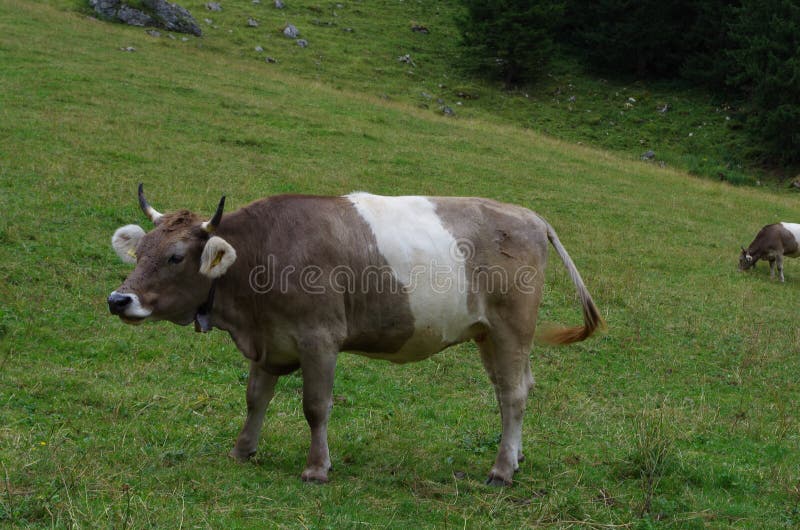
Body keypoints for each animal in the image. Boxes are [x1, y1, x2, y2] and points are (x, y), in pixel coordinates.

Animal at [108, 184, 604, 486]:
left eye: (175, 257)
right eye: (141, 250)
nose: (118, 300)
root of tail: (528, 215)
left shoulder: (319, 339)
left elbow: (315, 407)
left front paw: (316, 468)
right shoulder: (269, 343)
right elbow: (255, 398)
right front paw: (242, 450)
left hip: (512, 328)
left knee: (515, 394)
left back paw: (501, 470)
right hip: (487, 334)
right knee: (511, 390)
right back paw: (514, 458)